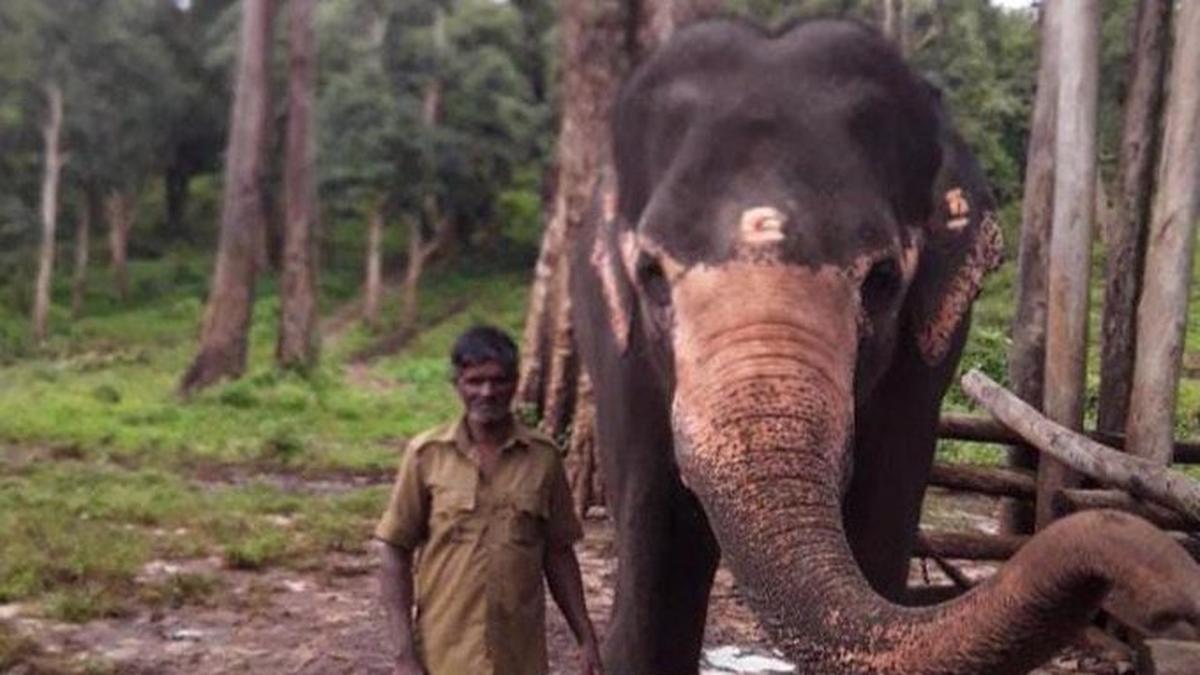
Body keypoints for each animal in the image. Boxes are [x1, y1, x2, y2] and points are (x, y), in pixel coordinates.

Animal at [568, 17, 1200, 675]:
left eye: (882, 280)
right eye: (650, 273)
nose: (1175, 601)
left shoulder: (926, 361)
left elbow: (880, 528)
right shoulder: (615, 349)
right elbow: (655, 570)